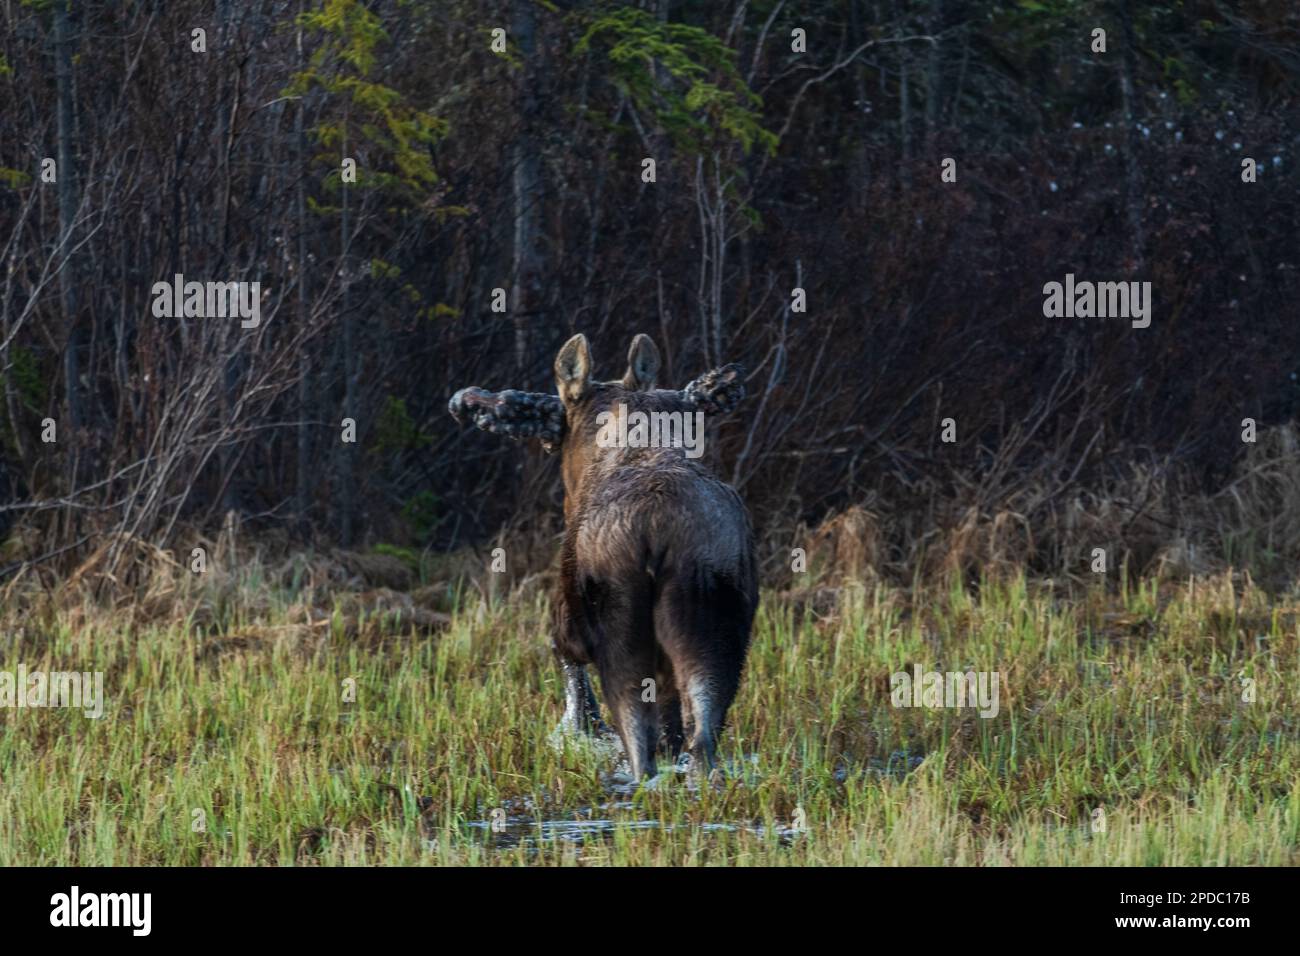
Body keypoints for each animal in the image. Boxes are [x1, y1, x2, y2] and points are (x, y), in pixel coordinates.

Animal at [449, 333, 758, 781]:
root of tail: (657, 531)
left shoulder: (567, 618)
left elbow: (566, 663)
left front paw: (581, 730)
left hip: (619, 631)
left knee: (640, 742)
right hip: (718, 626)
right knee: (700, 734)